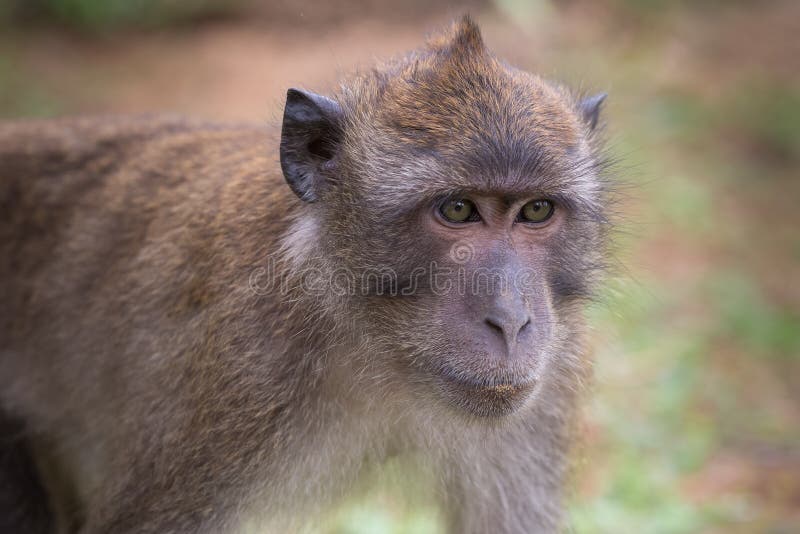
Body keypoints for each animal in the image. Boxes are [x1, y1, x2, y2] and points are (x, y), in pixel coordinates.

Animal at [0, 16, 610, 534]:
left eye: (536, 210)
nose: (511, 320)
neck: (373, 342)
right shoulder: (244, 373)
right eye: (458, 210)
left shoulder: (545, 390)